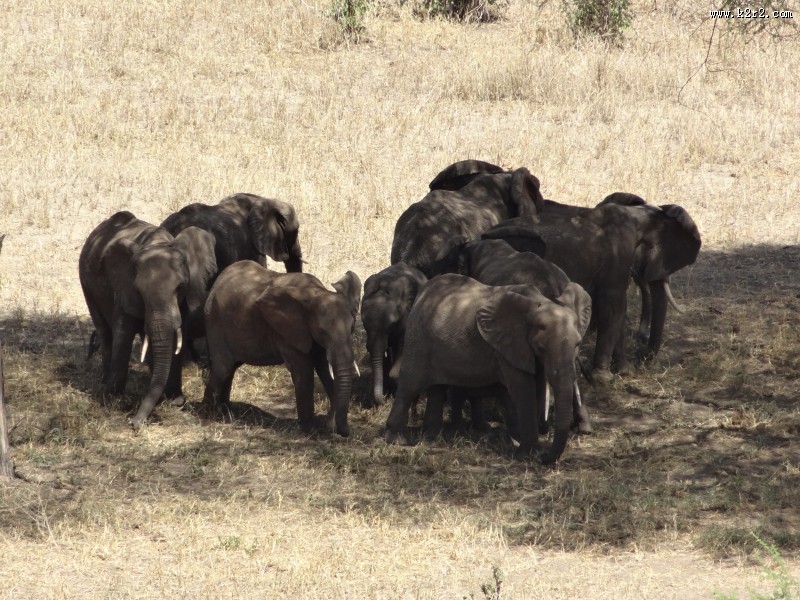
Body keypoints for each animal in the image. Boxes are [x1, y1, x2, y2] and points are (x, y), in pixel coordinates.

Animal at [79, 211, 218, 429]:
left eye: (180, 287)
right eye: (139, 291)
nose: (133, 423)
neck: (158, 243)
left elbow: (178, 337)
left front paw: (174, 401)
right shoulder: (124, 287)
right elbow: (123, 334)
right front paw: (113, 399)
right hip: (86, 284)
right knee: (105, 332)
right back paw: (104, 382)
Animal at [203, 261, 361, 436]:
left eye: (352, 327)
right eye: (321, 331)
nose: (345, 432)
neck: (317, 292)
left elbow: (324, 369)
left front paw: (329, 426)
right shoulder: (288, 333)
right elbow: (304, 370)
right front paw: (310, 430)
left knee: (231, 368)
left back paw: (227, 409)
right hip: (215, 321)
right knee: (222, 368)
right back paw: (212, 414)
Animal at [385, 274, 586, 464]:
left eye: (577, 344)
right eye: (541, 347)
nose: (545, 458)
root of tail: (423, 292)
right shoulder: (506, 348)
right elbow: (523, 390)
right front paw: (528, 454)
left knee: (437, 388)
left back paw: (433, 437)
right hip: (418, 338)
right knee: (410, 384)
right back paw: (398, 440)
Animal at [482, 194, 701, 378]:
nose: (642, 357)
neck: (641, 214)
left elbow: (618, 308)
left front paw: (624, 372)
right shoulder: (619, 250)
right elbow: (613, 305)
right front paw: (604, 377)